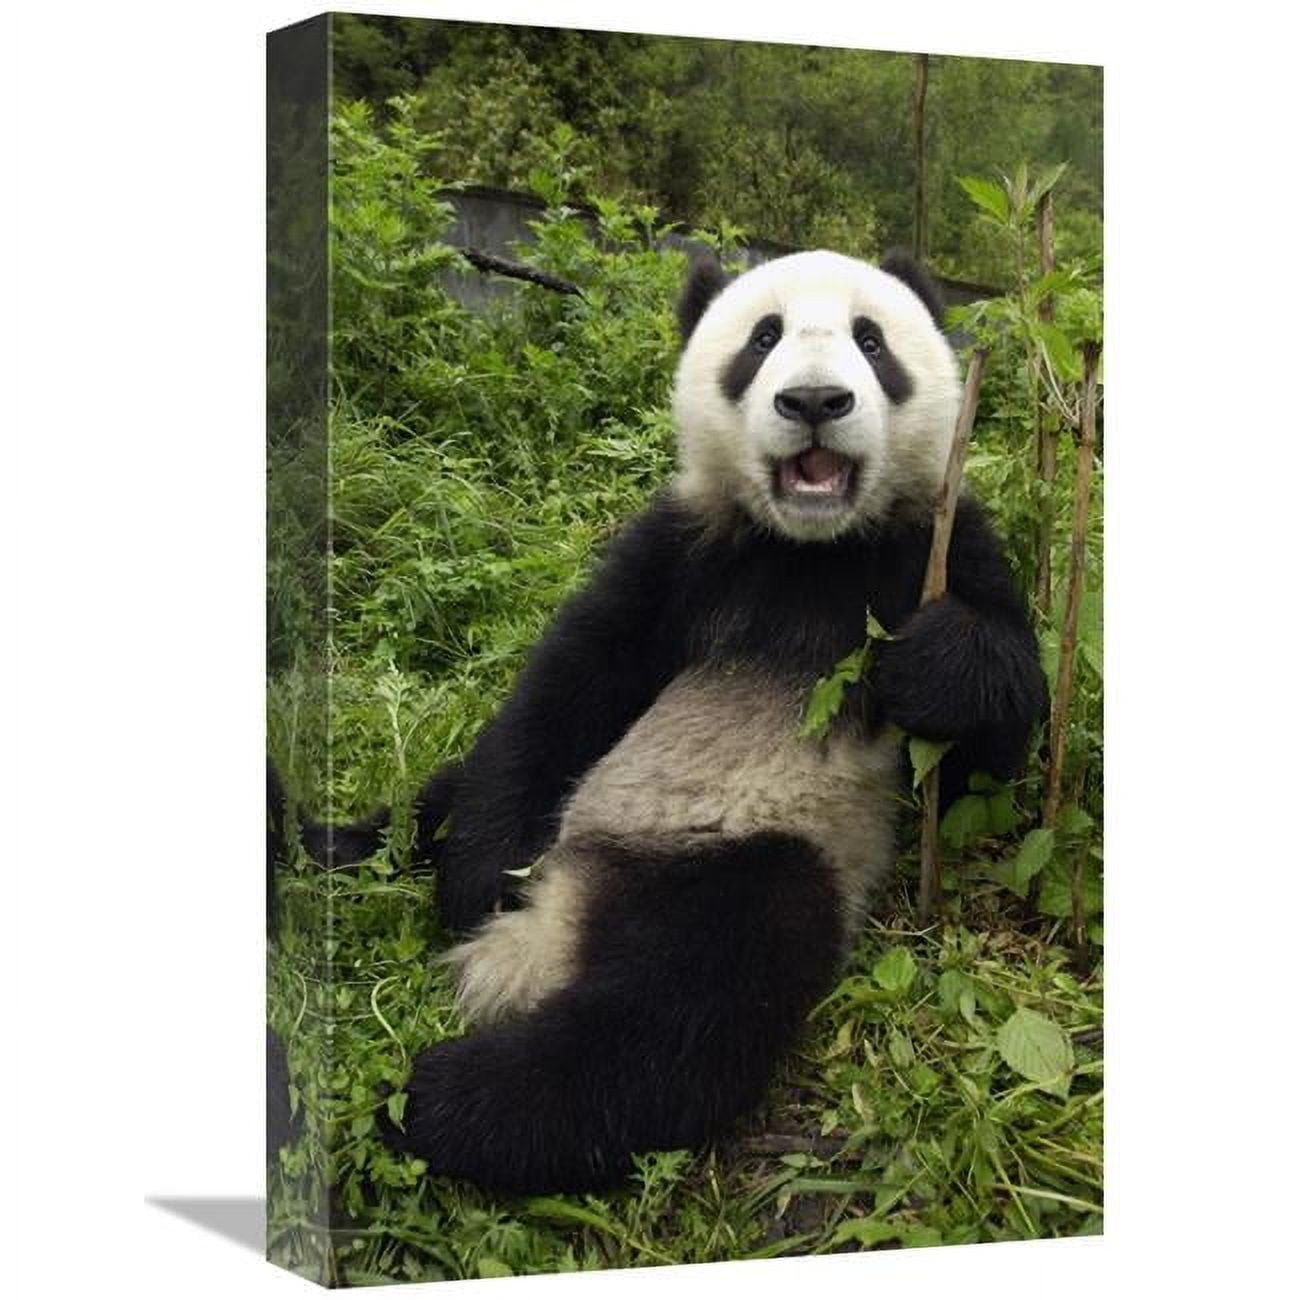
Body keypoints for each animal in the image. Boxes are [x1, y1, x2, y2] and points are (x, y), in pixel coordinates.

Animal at [373, 248, 1047, 1195]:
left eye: (871, 342)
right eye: (762, 338)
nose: (814, 401)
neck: (810, 548)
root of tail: (554, 925)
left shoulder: (938, 547)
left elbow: (986, 765)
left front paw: (931, 667)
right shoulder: (682, 550)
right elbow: (568, 683)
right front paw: (475, 877)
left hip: (750, 861)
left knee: (681, 1015)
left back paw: (443, 1099)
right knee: (439, 795)